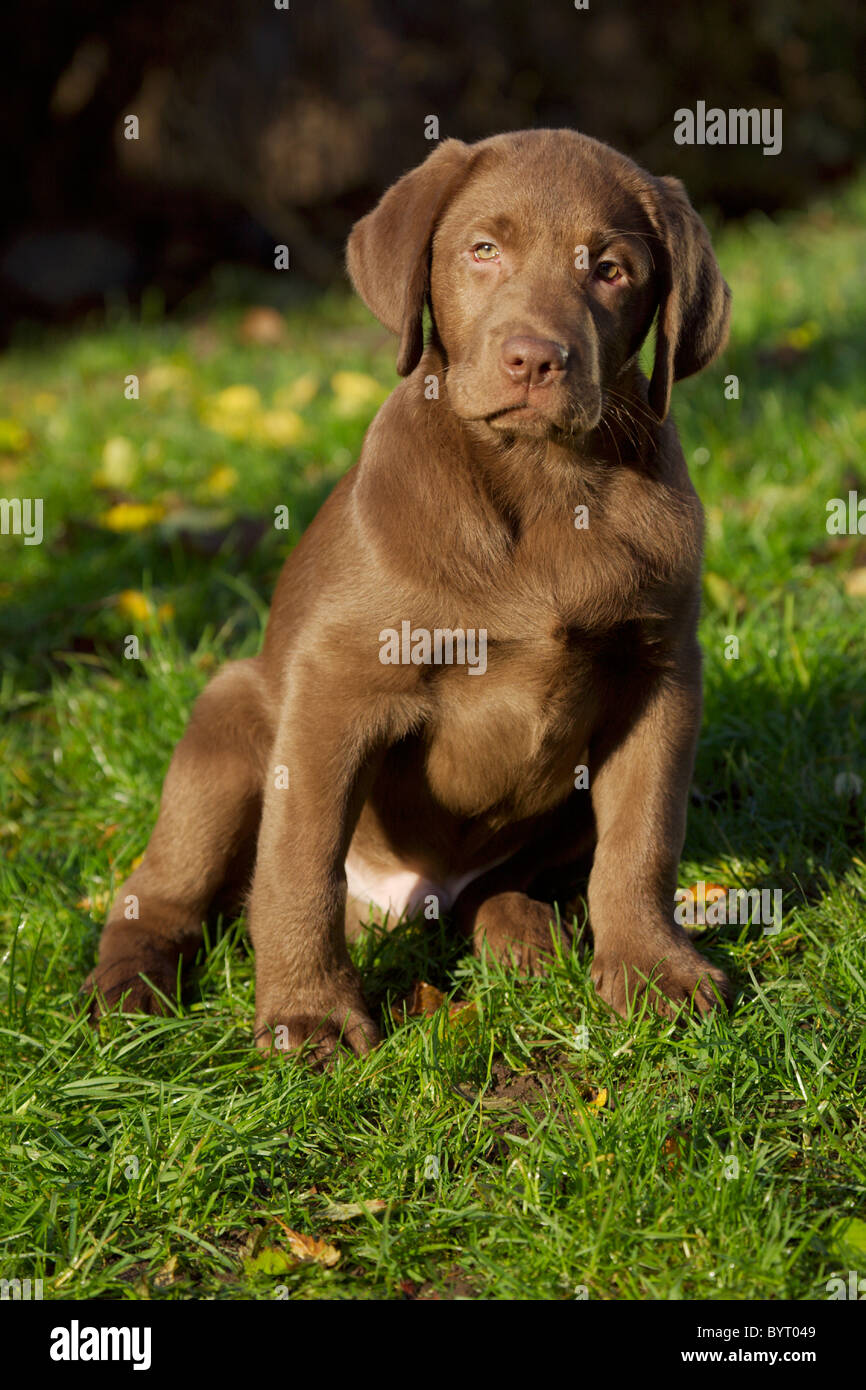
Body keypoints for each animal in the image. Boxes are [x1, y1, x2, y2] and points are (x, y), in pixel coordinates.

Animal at [86, 132, 733, 1061]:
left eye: (612, 270)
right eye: (483, 250)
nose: (535, 359)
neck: (541, 481)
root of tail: (406, 904)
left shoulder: (660, 675)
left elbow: (642, 840)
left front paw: (652, 969)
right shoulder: (336, 689)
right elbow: (300, 865)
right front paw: (309, 1015)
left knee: (503, 881)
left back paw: (521, 931)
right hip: (226, 720)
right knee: (160, 889)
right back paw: (130, 989)